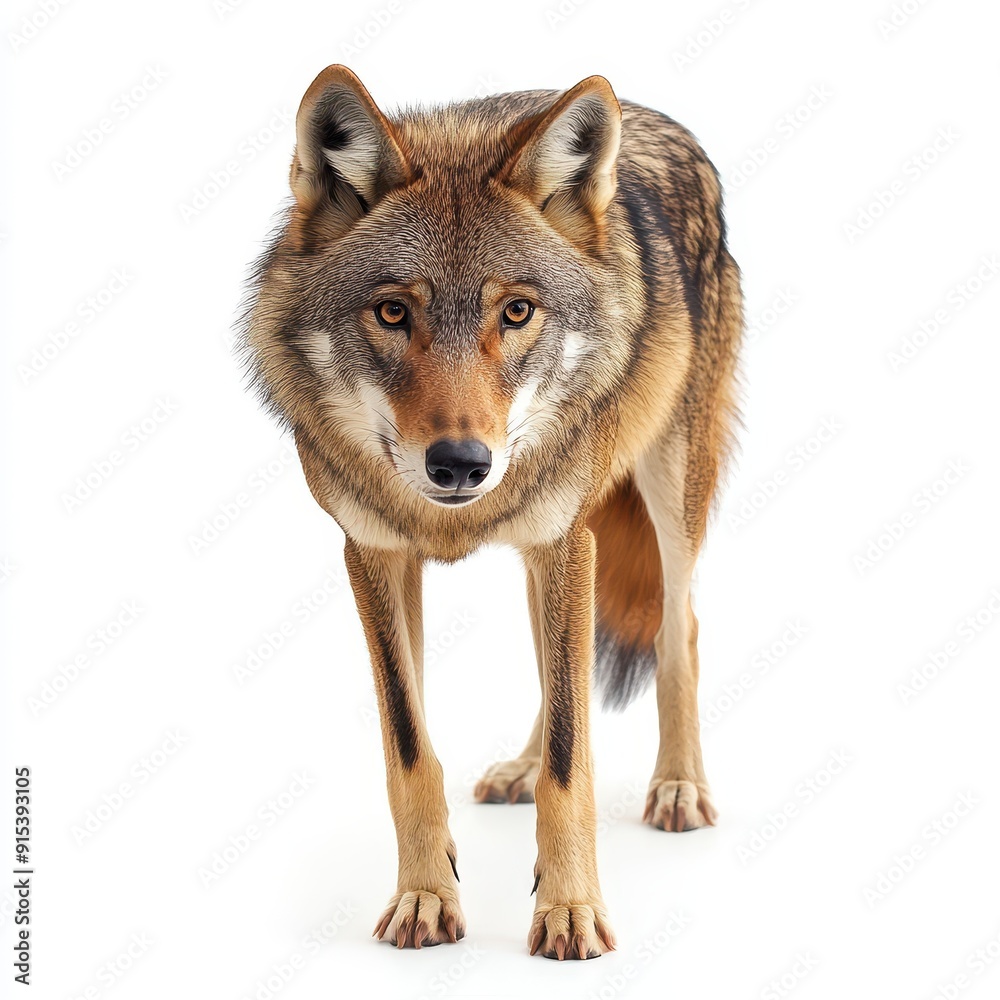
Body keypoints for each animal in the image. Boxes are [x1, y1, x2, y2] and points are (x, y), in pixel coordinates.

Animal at [241, 64, 742, 960]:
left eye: (516, 312)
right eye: (393, 311)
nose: (461, 463)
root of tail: (648, 114)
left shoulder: (563, 540)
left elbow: (574, 758)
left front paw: (571, 910)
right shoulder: (373, 555)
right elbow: (411, 747)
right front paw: (424, 897)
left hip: (665, 492)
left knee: (677, 627)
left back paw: (679, 786)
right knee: (558, 667)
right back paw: (519, 768)